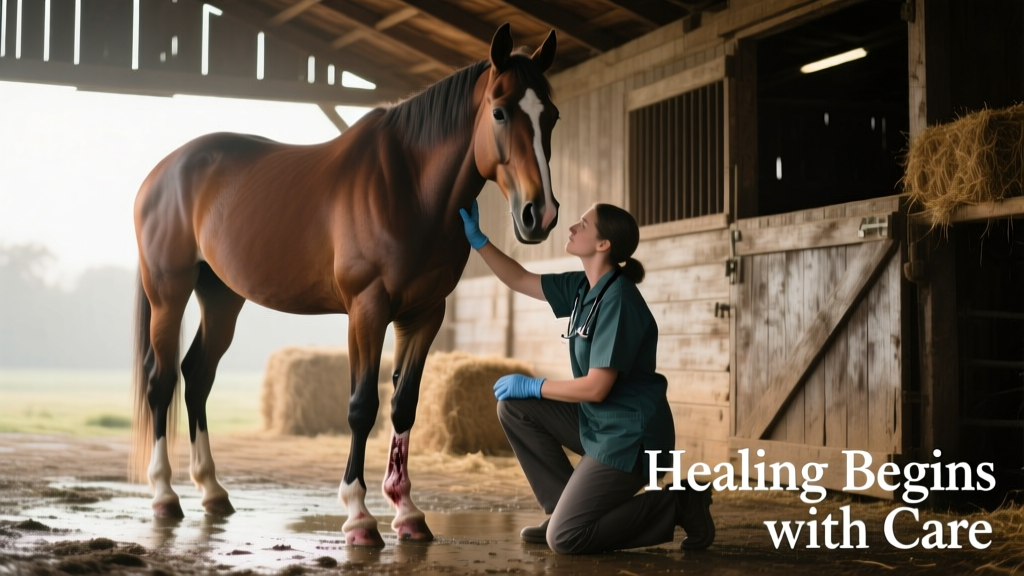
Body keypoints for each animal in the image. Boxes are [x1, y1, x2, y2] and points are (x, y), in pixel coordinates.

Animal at [130, 23, 559, 547]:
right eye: (499, 111)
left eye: (551, 115)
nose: (540, 215)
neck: (408, 188)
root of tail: (161, 173)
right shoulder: (367, 310)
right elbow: (362, 406)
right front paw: (359, 515)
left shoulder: (424, 314)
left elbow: (403, 406)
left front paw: (408, 512)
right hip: (168, 292)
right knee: (163, 380)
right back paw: (164, 495)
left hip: (221, 297)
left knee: (197, 376)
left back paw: (212, 491)